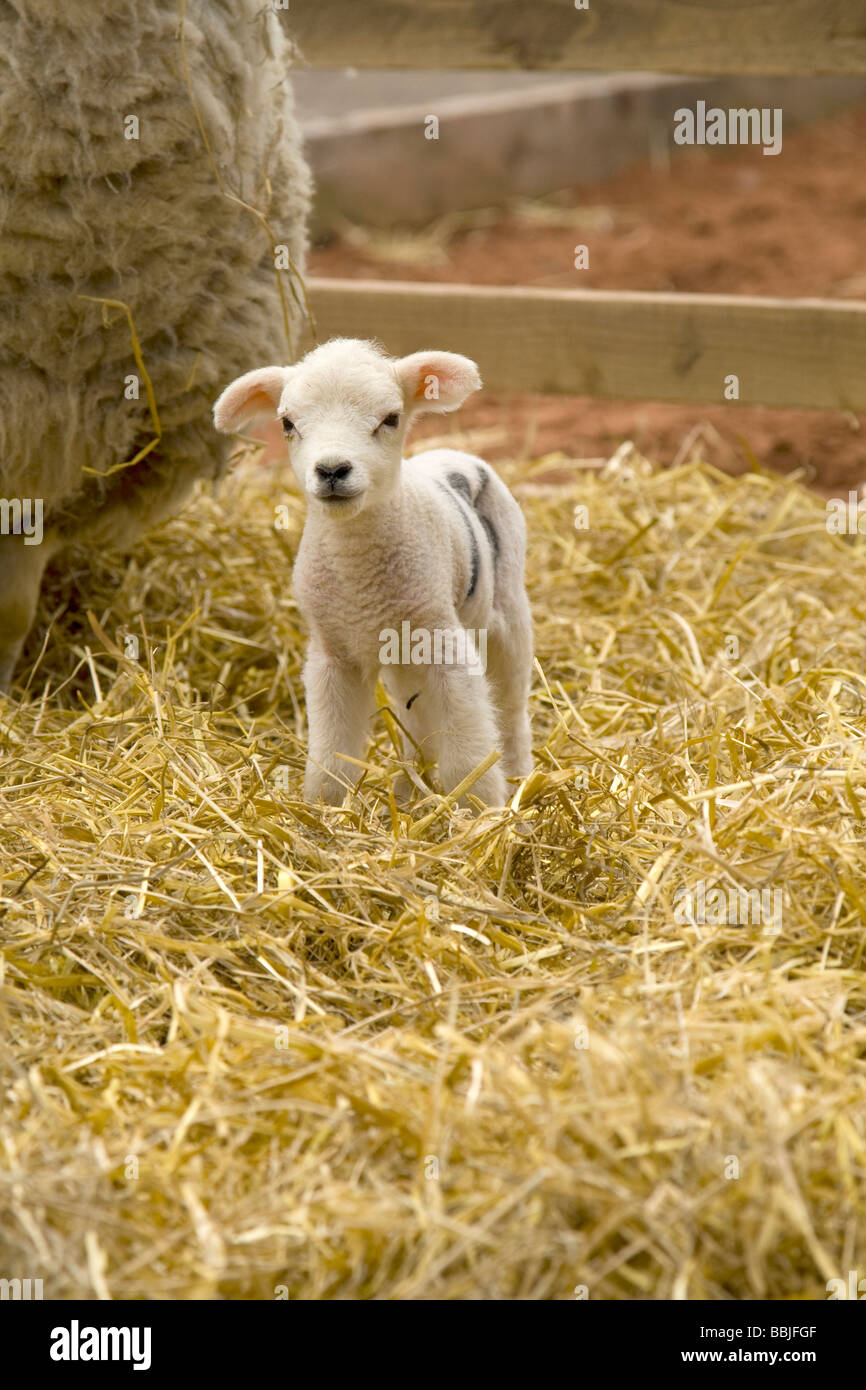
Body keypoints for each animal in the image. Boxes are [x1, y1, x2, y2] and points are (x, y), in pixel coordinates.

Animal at [214, 337, 534, 807]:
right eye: (288, 423)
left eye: (391, 418)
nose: (331, 470)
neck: (359, 580)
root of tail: (453, 452)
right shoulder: (332, 655)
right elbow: (332, 758)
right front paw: (325, 810)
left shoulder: (443, 641)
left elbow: (467, 756)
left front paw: (478, 809)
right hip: (403, 653)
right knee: (413, 714)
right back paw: (409, 787)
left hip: (508, 611)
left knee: (511, 707)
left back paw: (519, 779)